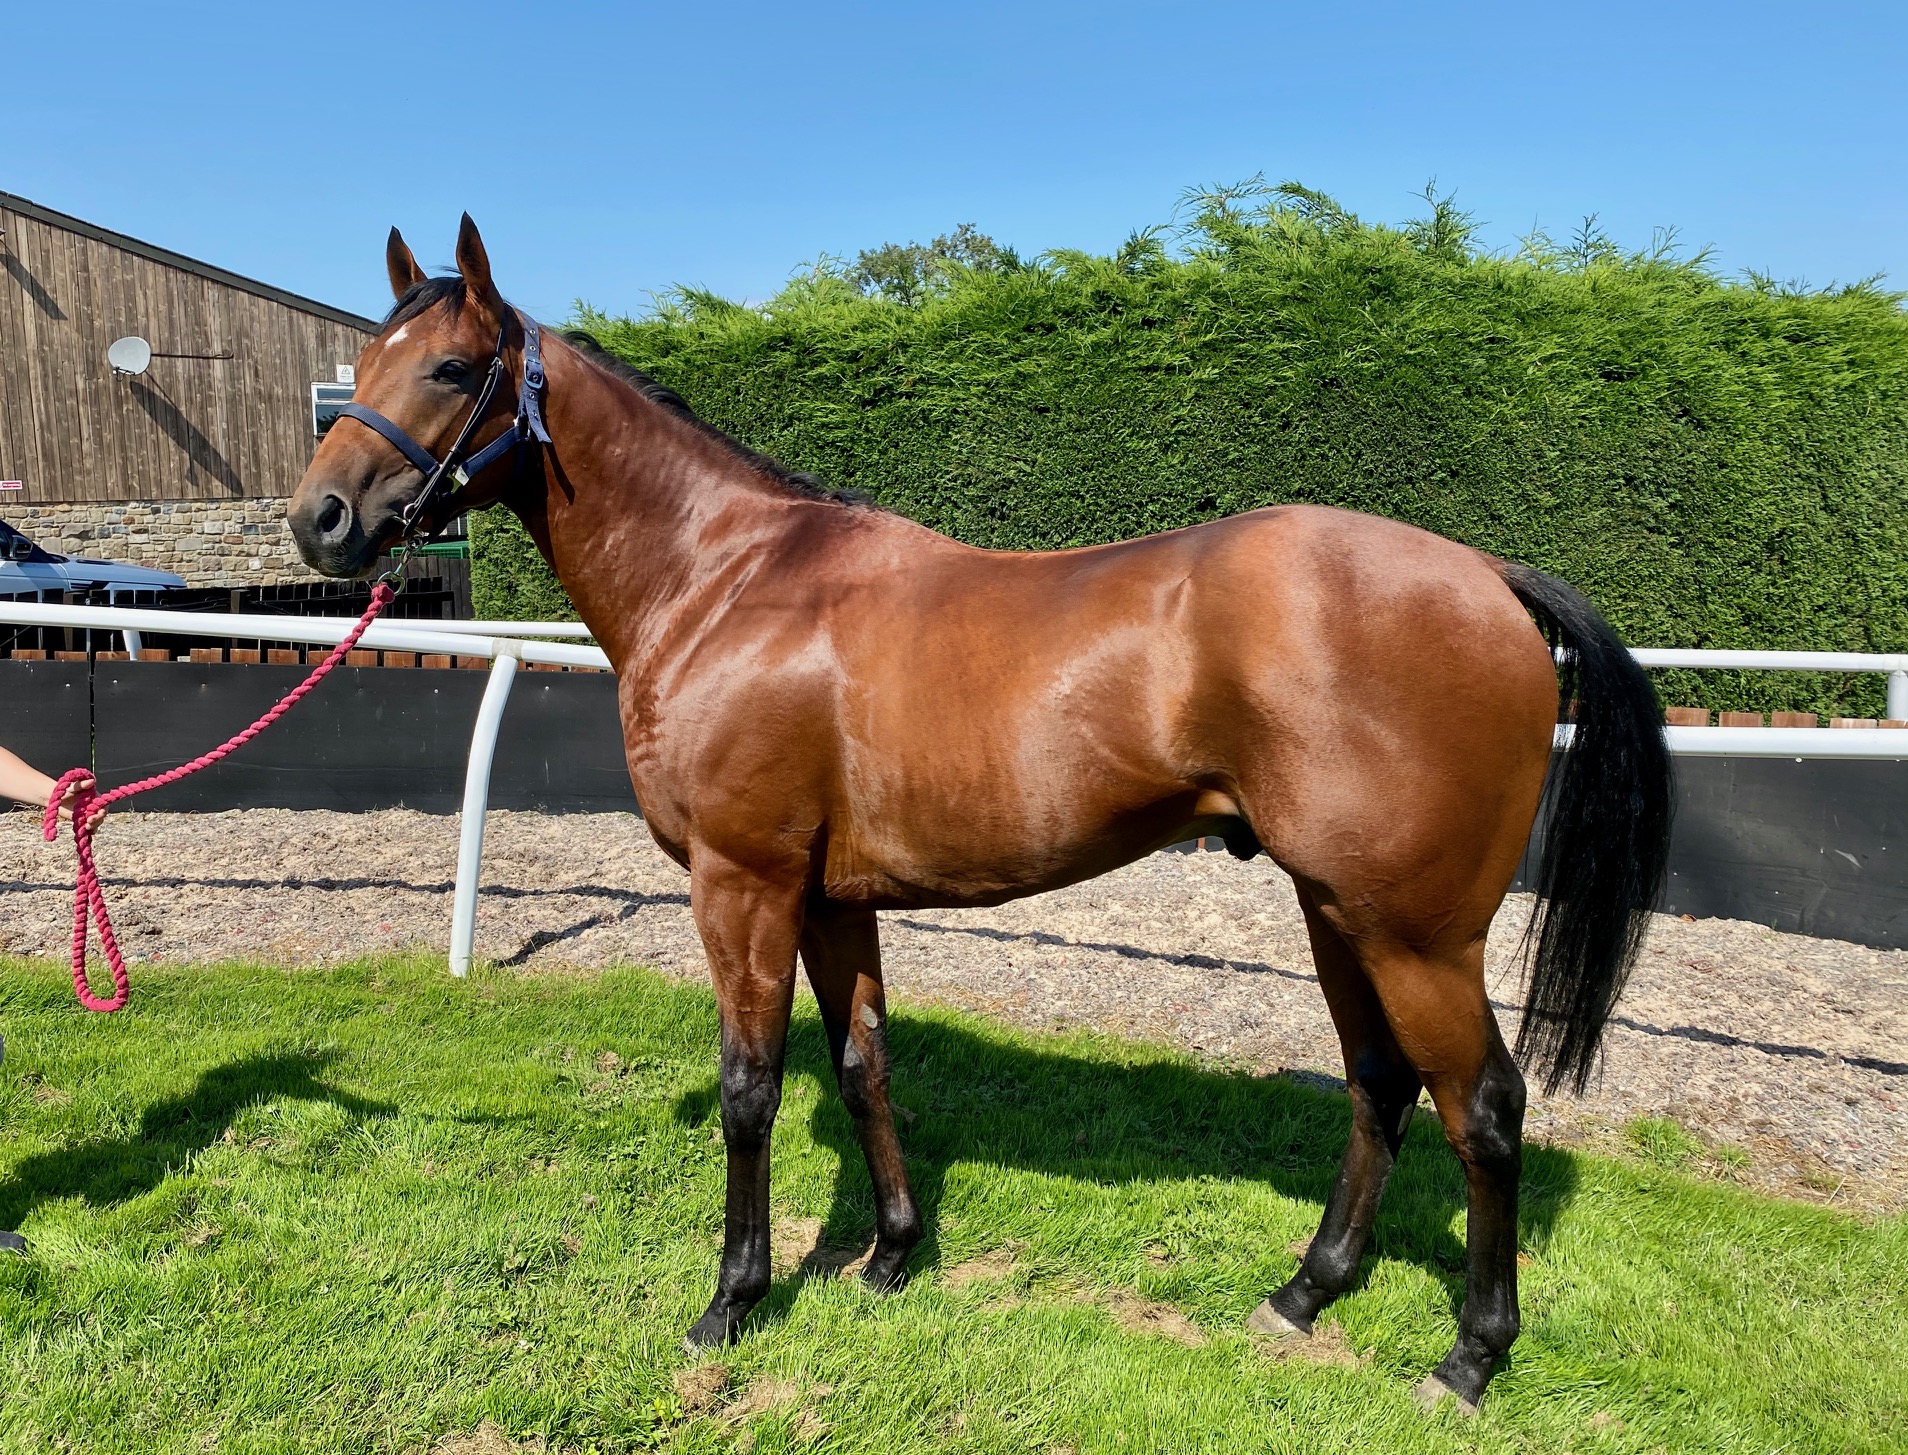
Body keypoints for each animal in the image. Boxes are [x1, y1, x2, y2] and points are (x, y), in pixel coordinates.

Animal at [289, 216, 1672, 1412]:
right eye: (359, 368)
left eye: (450, 367)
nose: (321, 521)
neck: (727, 582)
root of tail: (1485, 576)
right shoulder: (830, 895)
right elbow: (863, 1065)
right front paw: (892, 1256)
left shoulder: (742, 884)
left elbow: (750, 1088)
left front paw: (733, 1300)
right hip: (1339, 911)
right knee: (1380, 1086)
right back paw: (1304, 1293)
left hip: (1418, 935)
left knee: (1483, 1112)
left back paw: (1471, 1358)